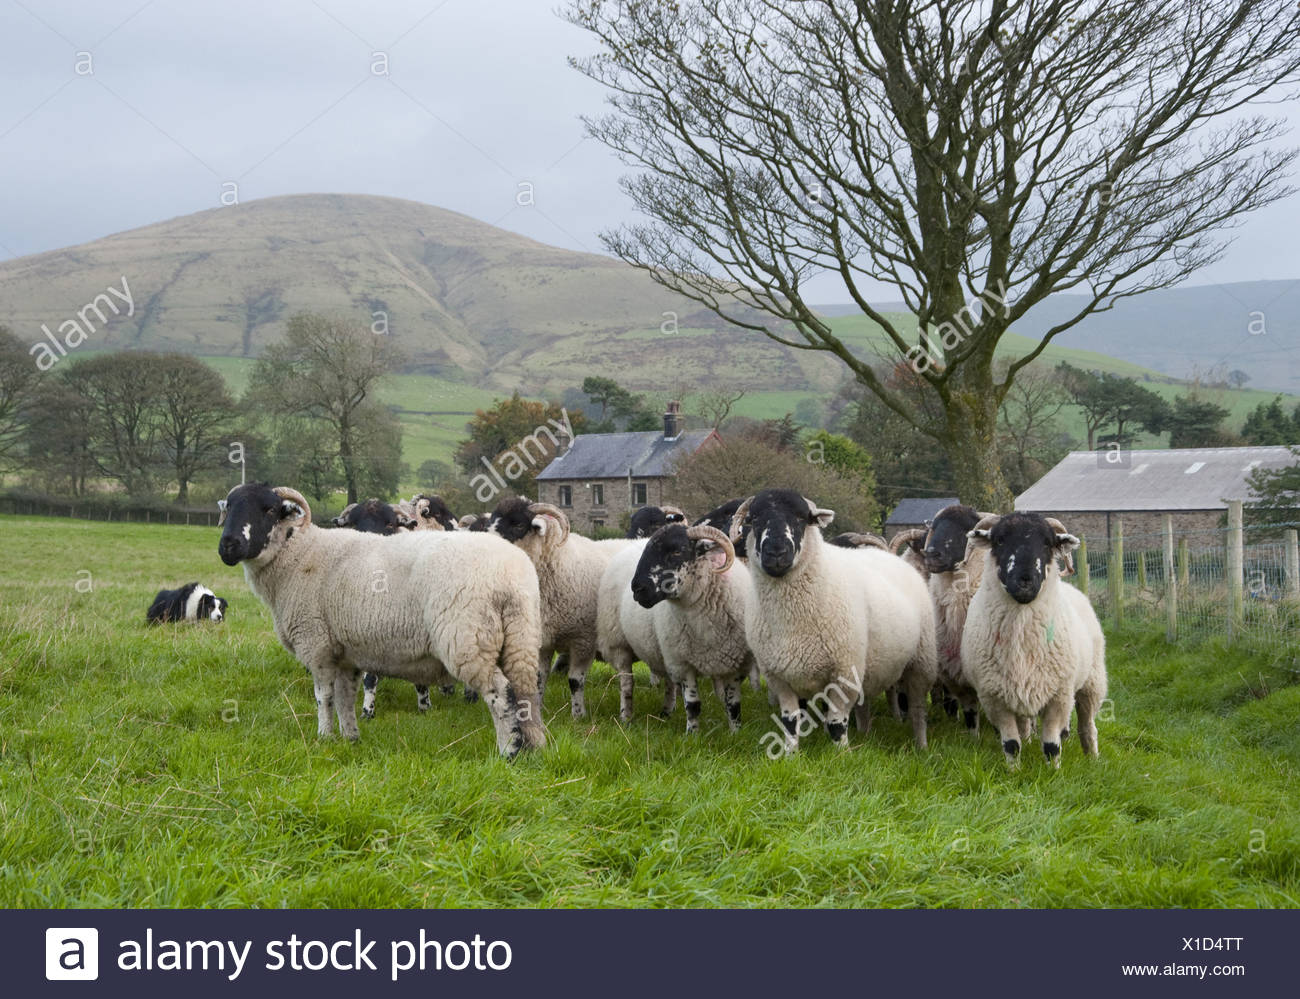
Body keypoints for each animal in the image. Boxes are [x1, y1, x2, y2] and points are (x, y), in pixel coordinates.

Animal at [217, 483, 545, 758]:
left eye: (269, 509)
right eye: (228, 507)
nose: (228, 545)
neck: (299, 555)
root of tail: (510, 574)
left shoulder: (317, 644)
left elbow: (324, 697)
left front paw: (324, 737)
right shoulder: (345, 652)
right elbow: (345, 697)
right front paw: (350, 739)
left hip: (467, 638)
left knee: (500, 692)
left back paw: (508, 751)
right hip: (522, 637)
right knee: (526, 690)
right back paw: (534, 745)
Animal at [487, 497, 634, 718]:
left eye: (518, 524)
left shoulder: (584, 640)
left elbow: (575, 680)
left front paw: (578, 714)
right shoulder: (542, 640)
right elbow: (539, 678)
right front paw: (538, 708)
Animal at [631, 524, 754, 733]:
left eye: (677, 551)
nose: (637, 589)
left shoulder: (735, 664)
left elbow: (733, 705)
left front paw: (735, 732)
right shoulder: (682, 663)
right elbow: (693, 705)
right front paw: (692, 734)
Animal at [733, 489, 937, 753]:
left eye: (802, 518)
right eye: (754, 519)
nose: (776, 552)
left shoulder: (844, 673)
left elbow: (836, 721)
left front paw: (841, 754)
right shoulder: (778, 677)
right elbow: (790, 720)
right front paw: (790, 753)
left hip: (921, 662)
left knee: (917, 710)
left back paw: (921, 746)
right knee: (864, 706)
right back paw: (865, 733)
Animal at [960, 512, 1107, 769]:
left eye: (1048, 543)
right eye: (999, 540)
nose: (1025, 581)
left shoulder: (1059, 697)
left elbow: (1051, 745)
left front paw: (1054, 772)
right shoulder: (994, 698)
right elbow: (1011, 744)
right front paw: (1014, 771)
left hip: (1091, 682)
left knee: (1087, 725)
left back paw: (1092, 758)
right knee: (1025, 726)